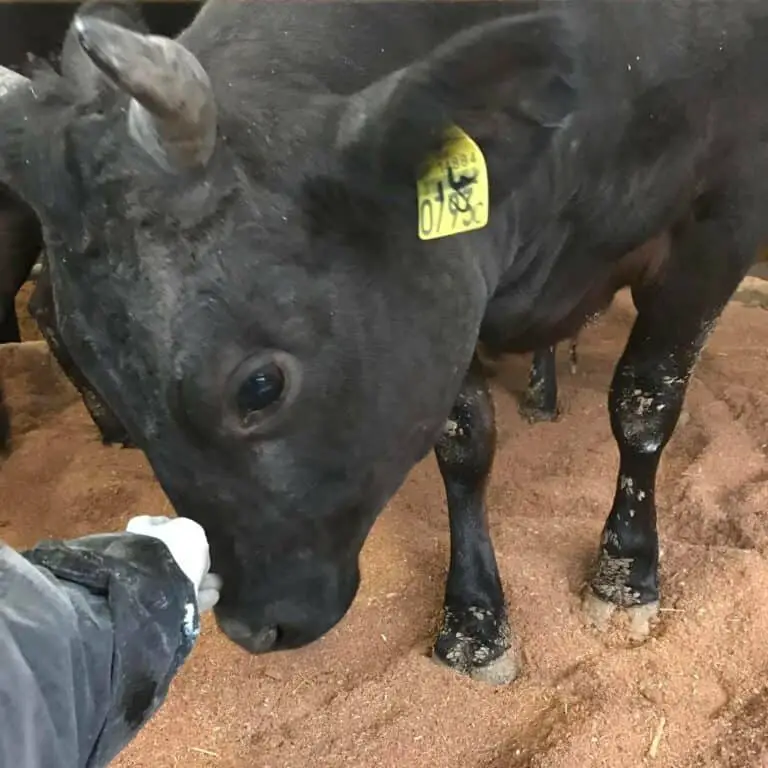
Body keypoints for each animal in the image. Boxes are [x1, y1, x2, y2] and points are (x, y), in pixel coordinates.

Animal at [0, 0, 765, 685]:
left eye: (260, 385)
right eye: (98, 370)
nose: (252, 626)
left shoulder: (722, 220)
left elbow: (644, 402)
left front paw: (626, 574)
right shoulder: (446, 293)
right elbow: (463, 442)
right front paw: (475, 624)